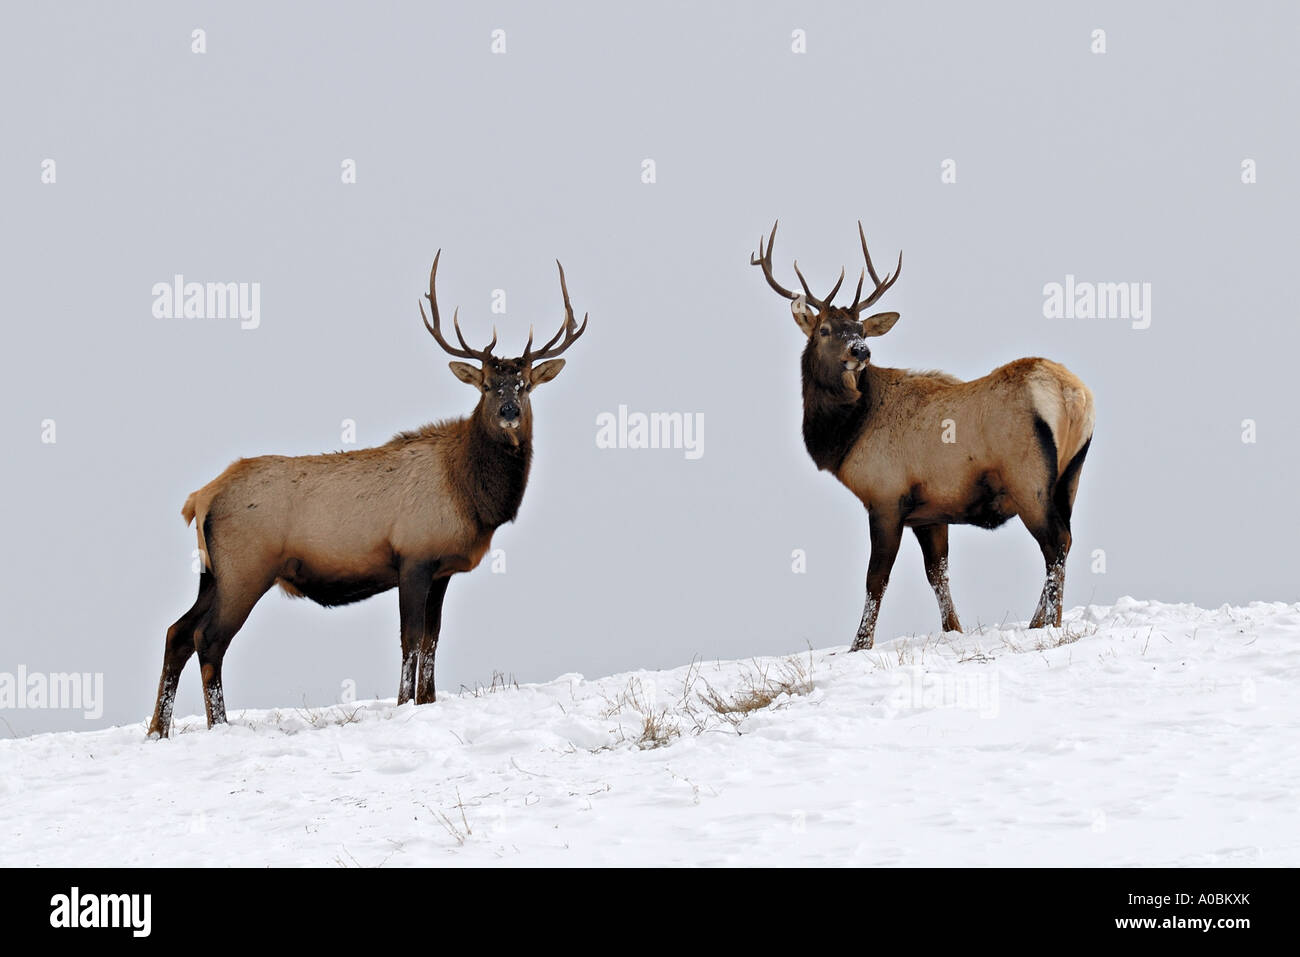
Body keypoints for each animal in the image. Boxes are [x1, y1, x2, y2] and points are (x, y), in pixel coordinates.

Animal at [147, 252, 588, 737]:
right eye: (488, 385)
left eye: (524, 384)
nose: (509, 413)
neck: (470, 494)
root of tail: (200, 498)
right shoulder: (414, 557)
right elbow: (410, 639)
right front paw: (404, 703)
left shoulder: (442, 570)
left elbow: (433, 639)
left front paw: (426, 700)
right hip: (245, 569)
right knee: (209, 638)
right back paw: (219, 726)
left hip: (212, 572)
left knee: (176, 632)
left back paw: (158, 730)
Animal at [752, 221, 1094, 651]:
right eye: (826, 329)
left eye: (861, 330)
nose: (861, 351)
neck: (846, 434)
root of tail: (1073, 395)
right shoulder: (930, 511)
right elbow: (938, 574)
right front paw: (953, 630)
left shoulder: (885, 497)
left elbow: (876, 579)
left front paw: (859, 645)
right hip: (1071, 476)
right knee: (1066, 540)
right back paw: (1037, 622)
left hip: (1028, 479)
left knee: (1055, 543)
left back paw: (1050, 625)